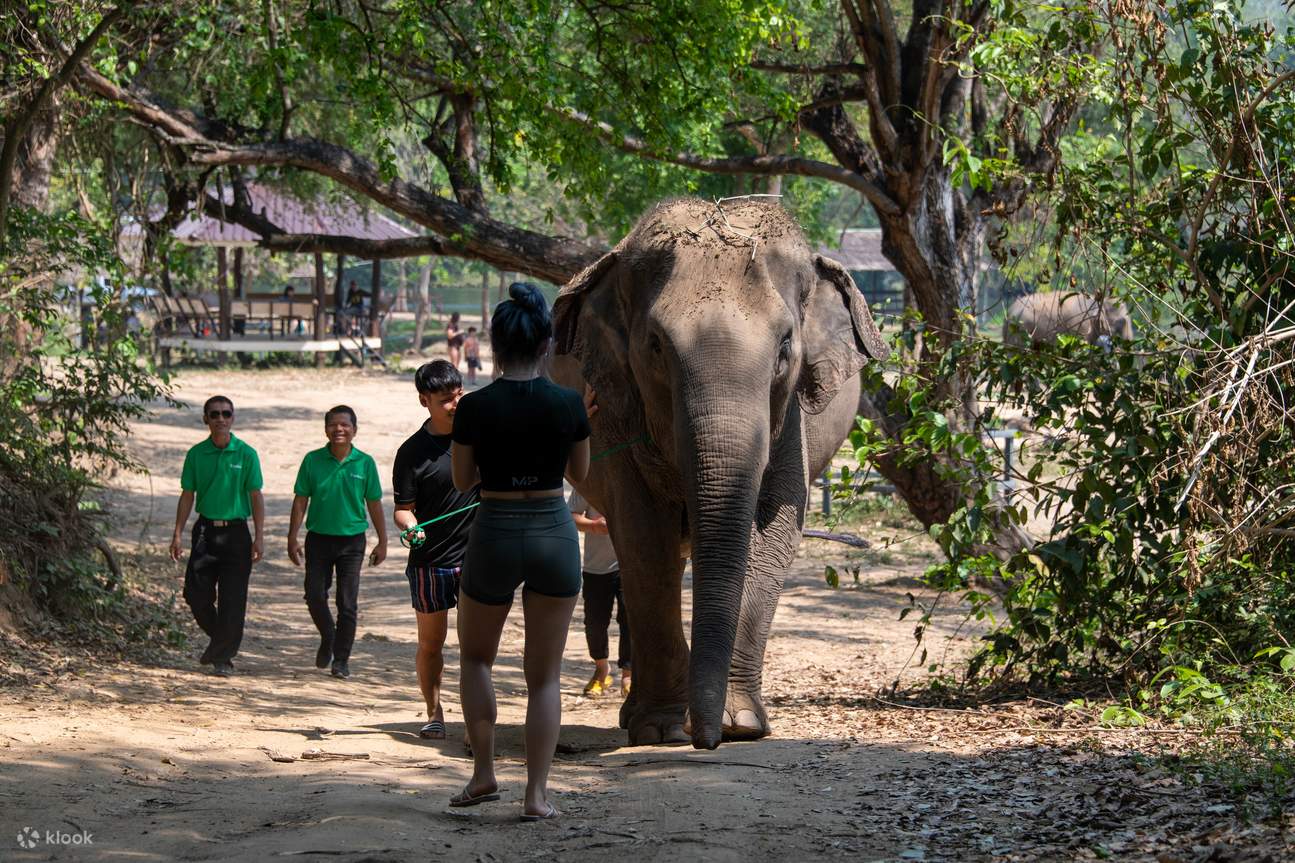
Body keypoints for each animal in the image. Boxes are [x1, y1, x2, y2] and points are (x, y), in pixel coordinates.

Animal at [549, 198, 887, 750]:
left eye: (785, 346)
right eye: (656, 346)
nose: (702, 739)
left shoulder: (790, 423)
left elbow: (773, 533)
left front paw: (740, 725)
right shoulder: (620, 416)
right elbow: (644, 536)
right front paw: (662, 729)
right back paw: (636, 715)